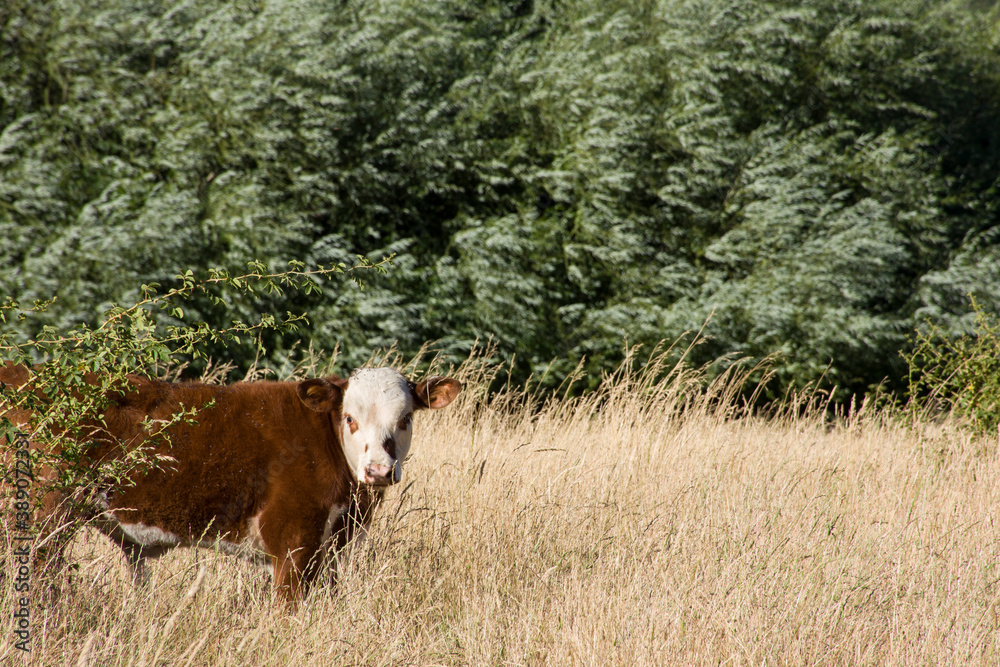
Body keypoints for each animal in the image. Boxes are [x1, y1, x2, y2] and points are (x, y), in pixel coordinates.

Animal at [0, 362, 461, 604]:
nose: (379, 471)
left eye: (406, 419)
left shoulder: (329, 547)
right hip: (43, 515)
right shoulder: (291, 539)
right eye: (350, 418)